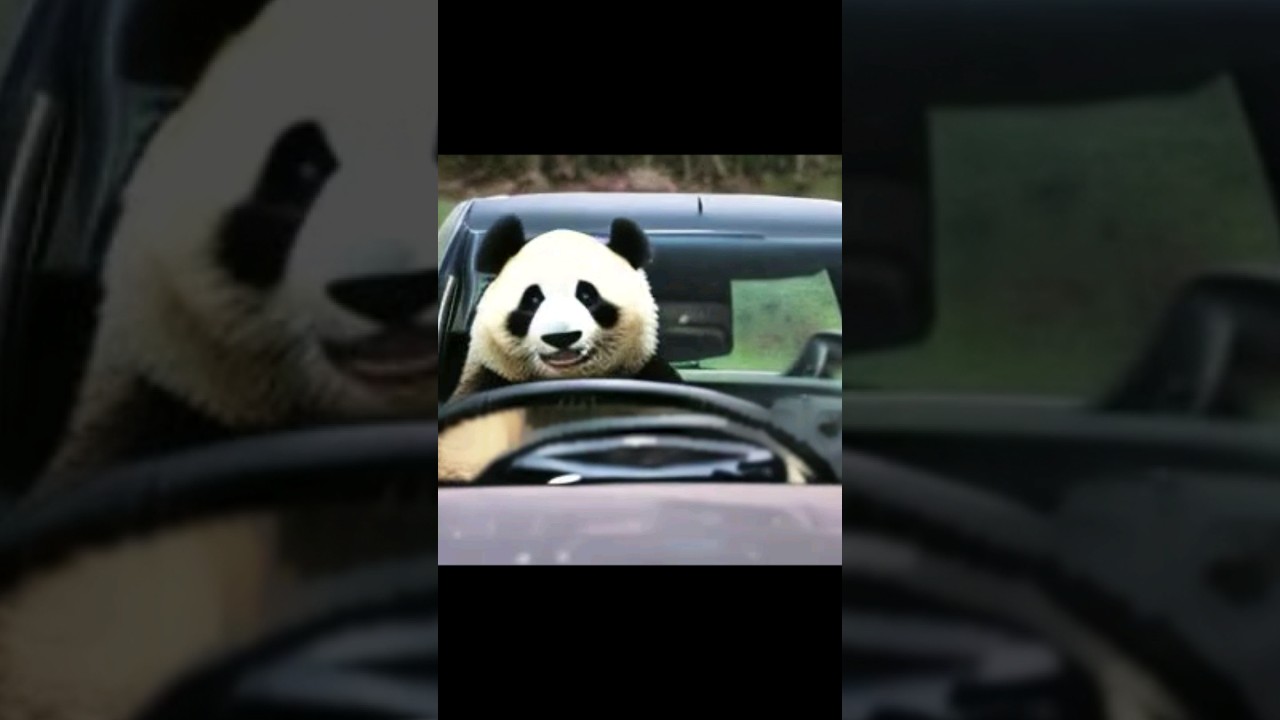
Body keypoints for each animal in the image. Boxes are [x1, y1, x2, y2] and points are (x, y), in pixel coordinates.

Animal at [439, 214, 683, 482]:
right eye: (533, 299)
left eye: (587, 296)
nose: (561, 337)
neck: (569, 385)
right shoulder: (491, 382)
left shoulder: (644, 377)